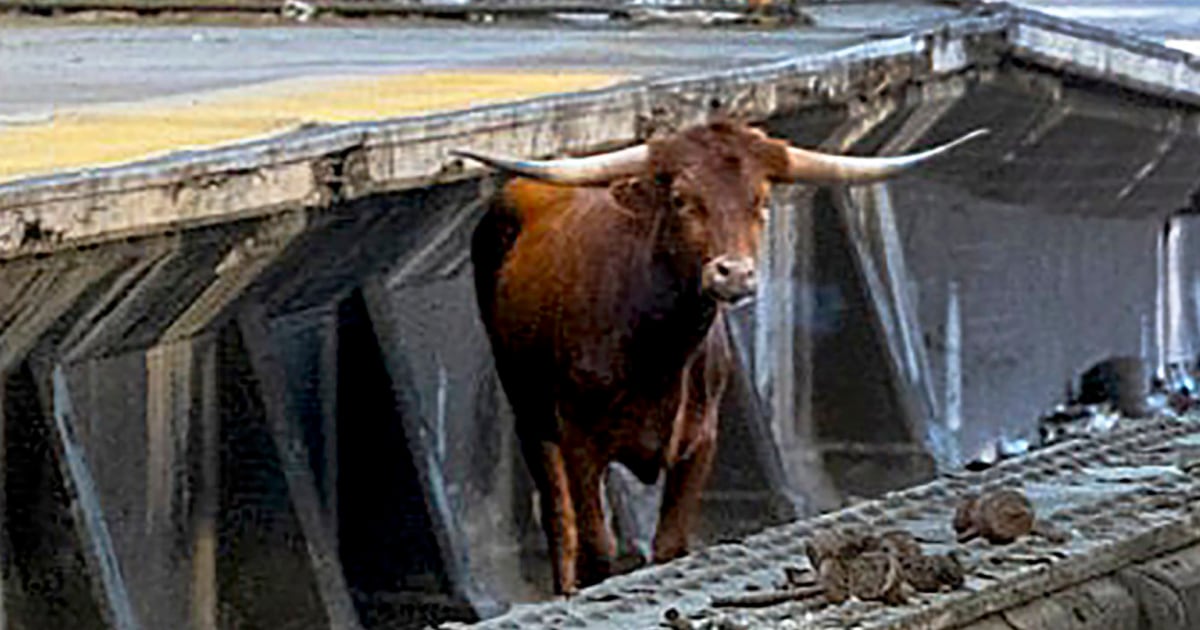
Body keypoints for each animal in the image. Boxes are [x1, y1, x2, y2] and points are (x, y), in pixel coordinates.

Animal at [456, 119, 984, 595]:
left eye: (762, 201)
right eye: (682, 200)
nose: (734, 274)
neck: (655, 352)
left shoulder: (700, 440)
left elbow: (670, 546)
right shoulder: (580, 438)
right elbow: (596, 549)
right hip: (529, 413)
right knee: (559, 519)